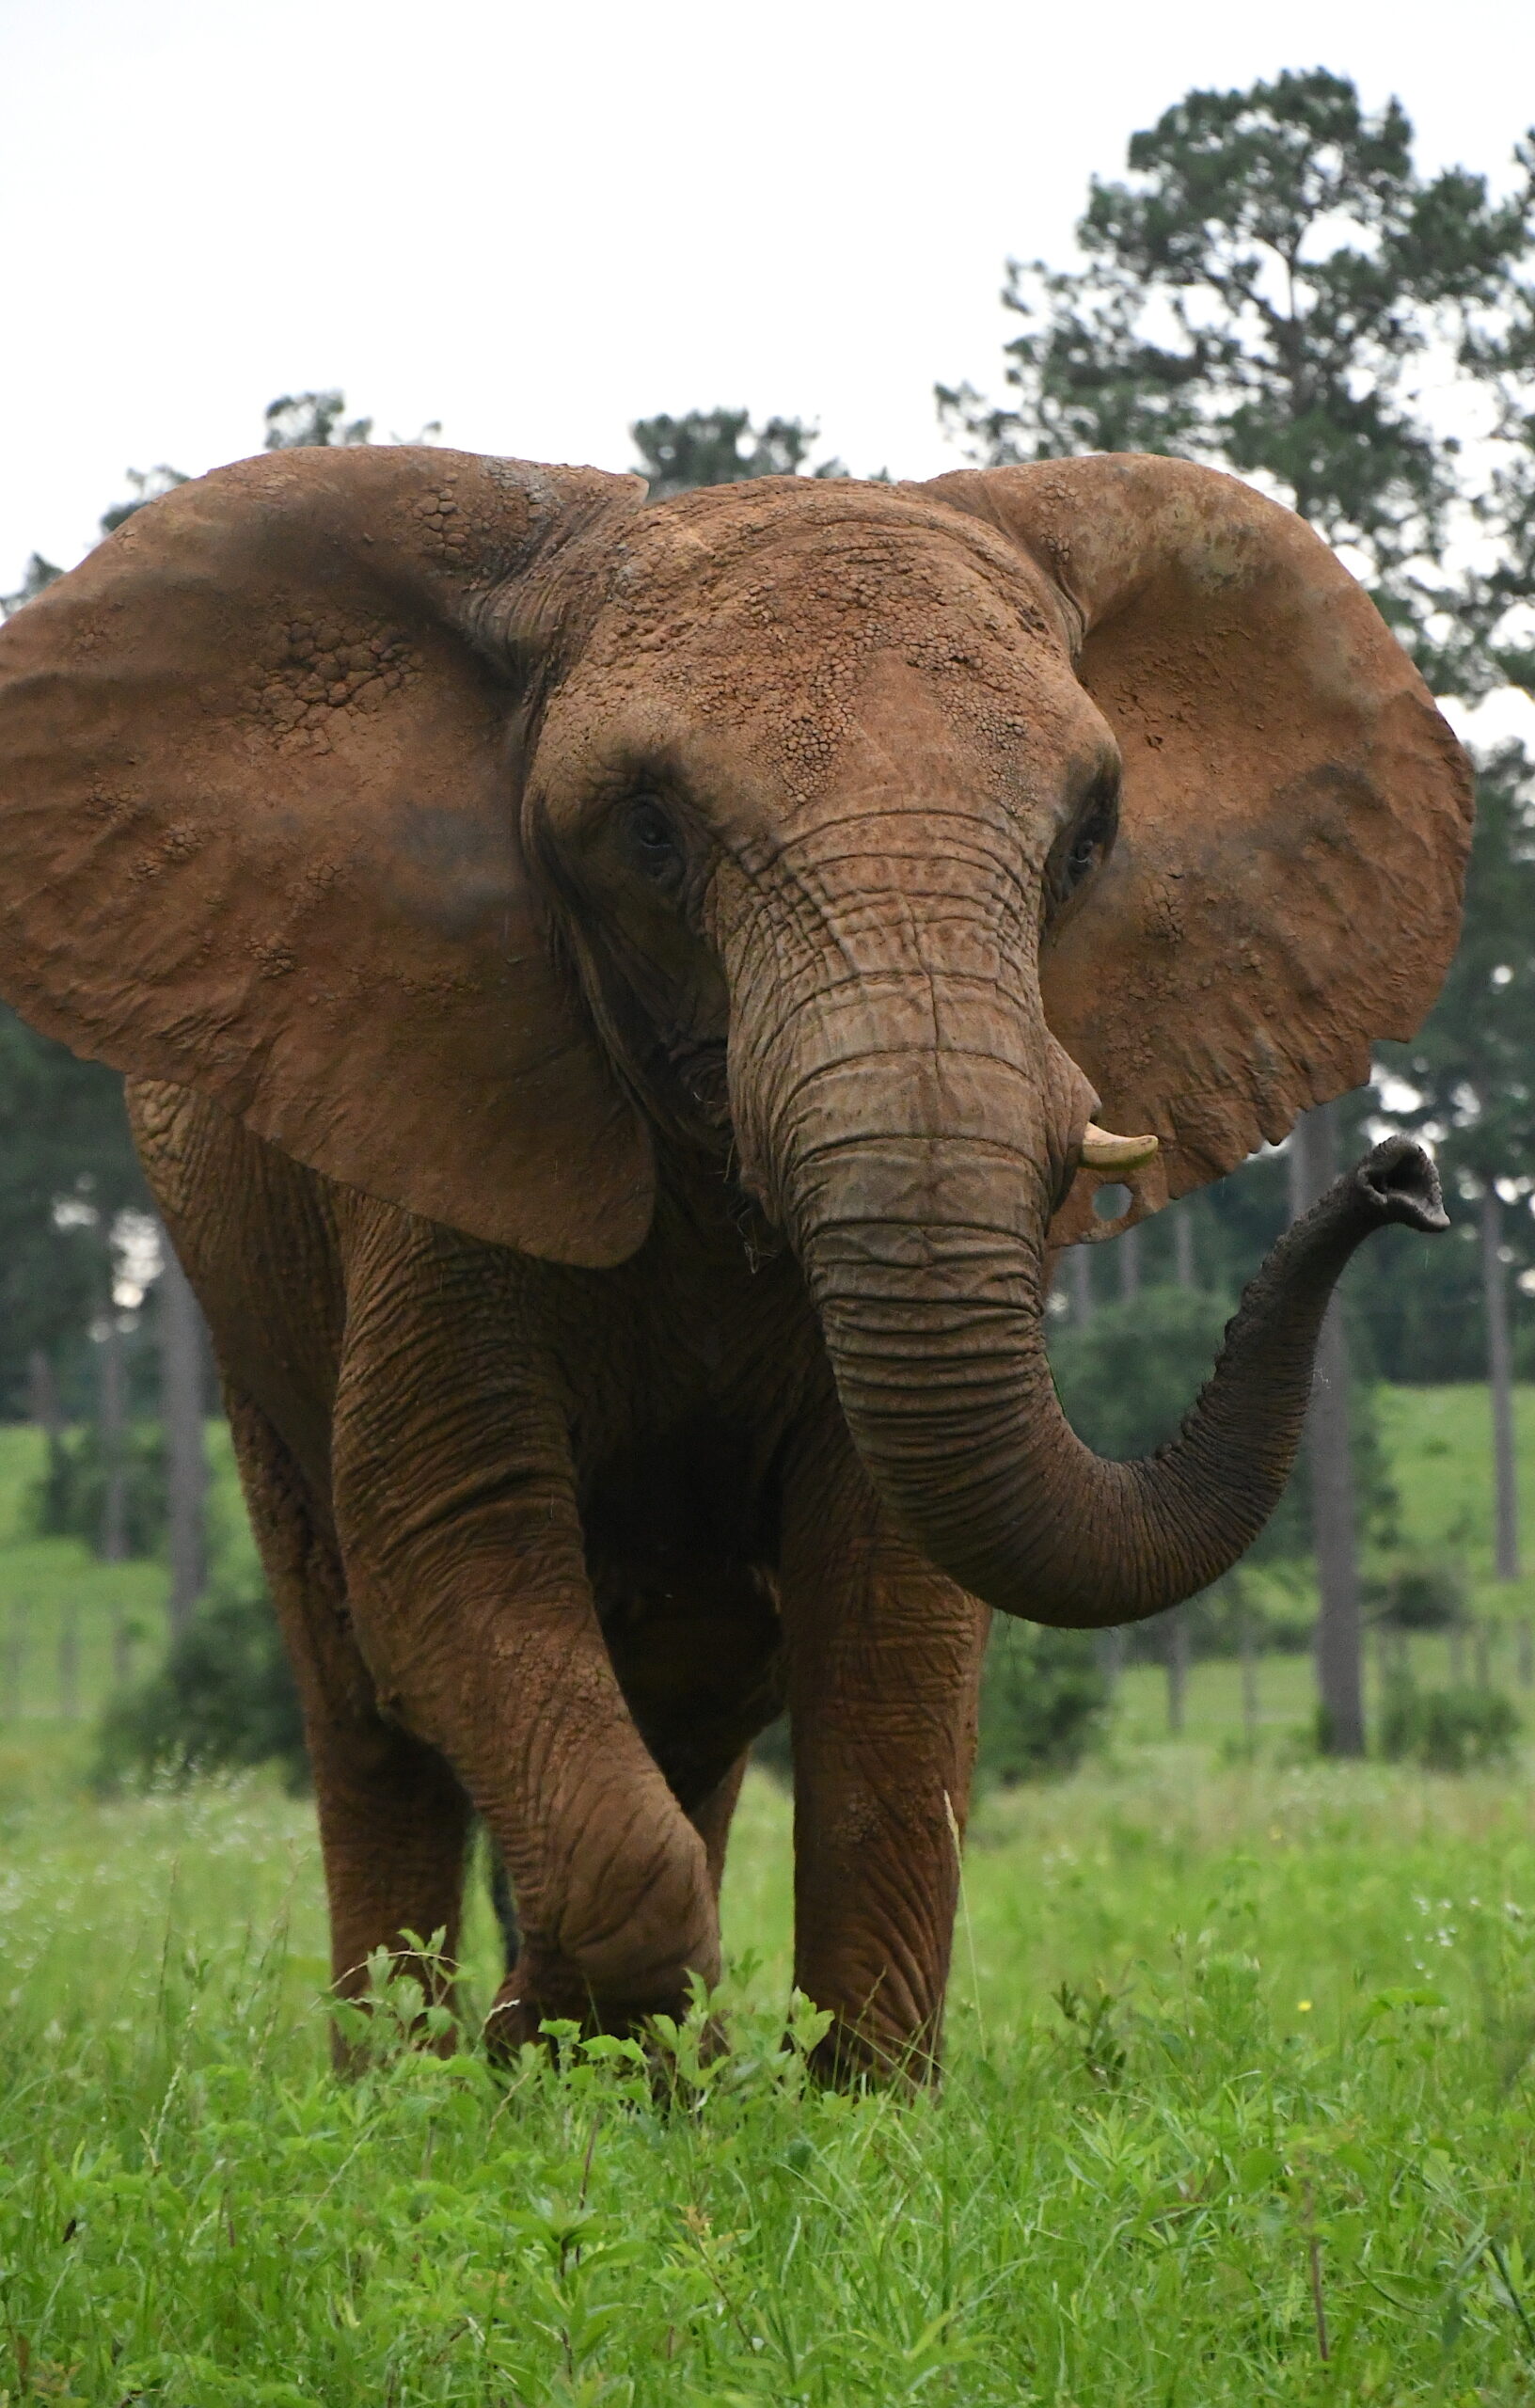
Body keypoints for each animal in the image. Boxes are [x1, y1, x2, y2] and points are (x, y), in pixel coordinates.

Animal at [0, 444, 1470, 2081]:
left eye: (1090, 841)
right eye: (650, 833)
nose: (1402, 1177)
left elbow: (893, 1610)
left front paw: (848, 2115)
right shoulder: (433, 1144)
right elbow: (447, 1535)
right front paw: (540, 2048)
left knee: (687, 1707)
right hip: (248, 1315)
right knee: (366, 1710)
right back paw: (404, 2085)